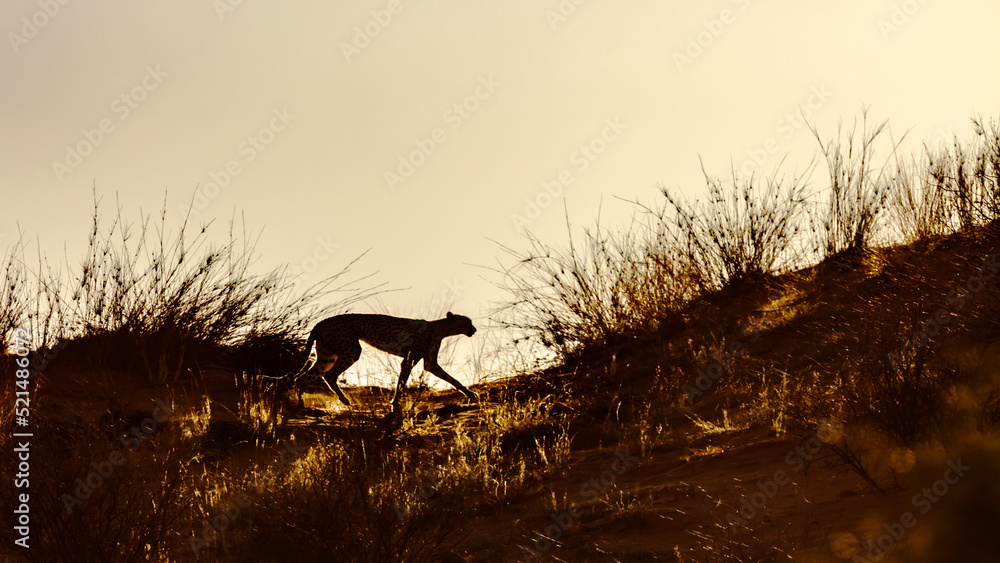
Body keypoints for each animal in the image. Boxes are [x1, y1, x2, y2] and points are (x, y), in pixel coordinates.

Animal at [290, 312, 478, 409]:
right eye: (468, 322)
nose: (474, 330)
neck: (442, 328)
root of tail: (321, 322)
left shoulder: (431, 364)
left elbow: (452, 379)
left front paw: (470, 394)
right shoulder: (409, 359)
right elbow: (401, 382)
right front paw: (395, 403)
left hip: (327, 357)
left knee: (303, 377)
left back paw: (301, 405)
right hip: (351, 351)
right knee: (328, 376)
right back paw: (344, 400)